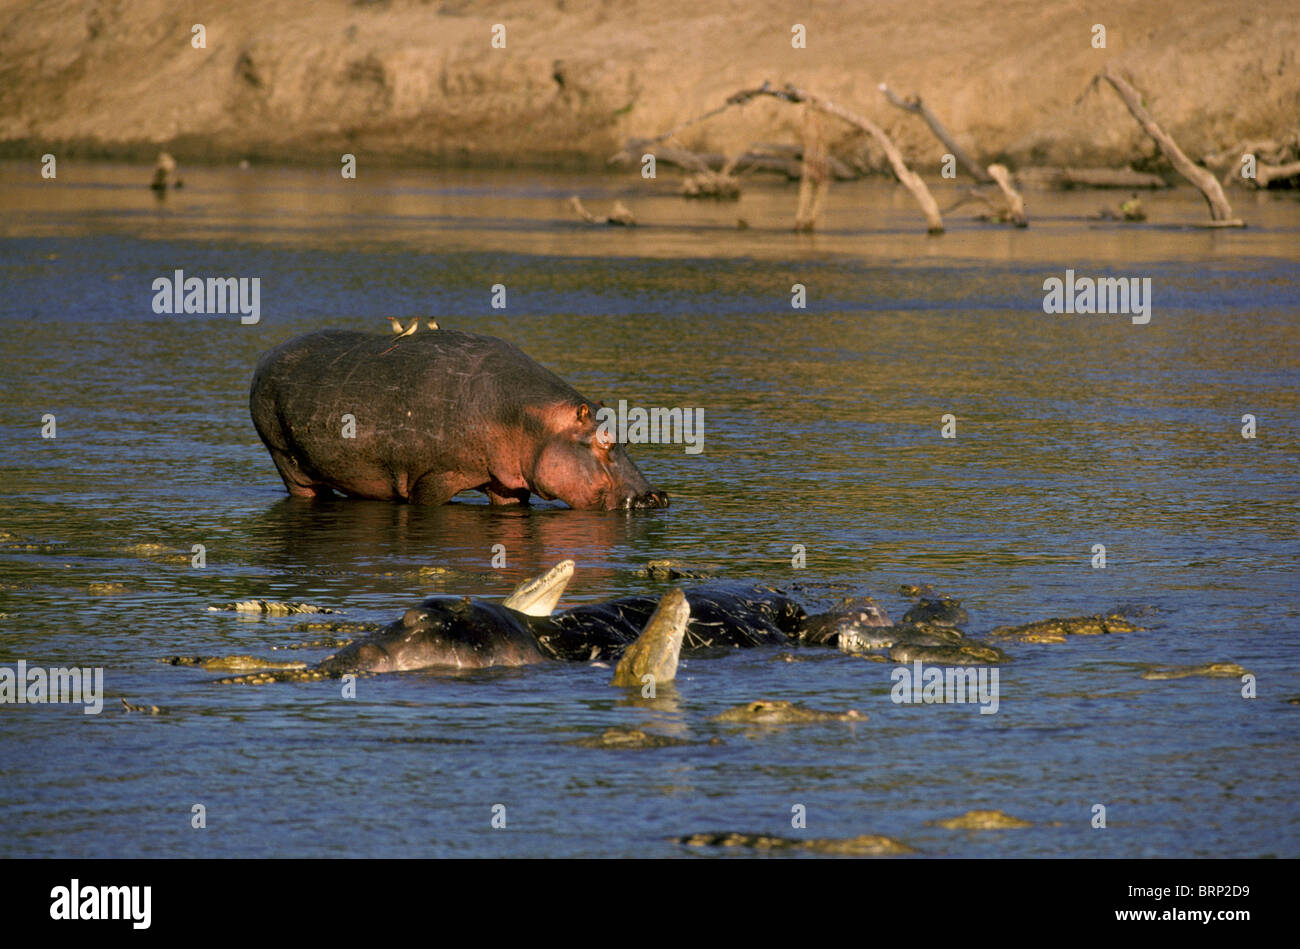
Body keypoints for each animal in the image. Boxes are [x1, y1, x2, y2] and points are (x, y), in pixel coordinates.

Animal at [249, 330, 668, 510]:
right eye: (605, 439)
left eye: (626, 436)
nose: (655, 496)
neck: (530, 420)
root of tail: (267, 356)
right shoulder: (434, 476)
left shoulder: (507, 484)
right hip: (284, 457)